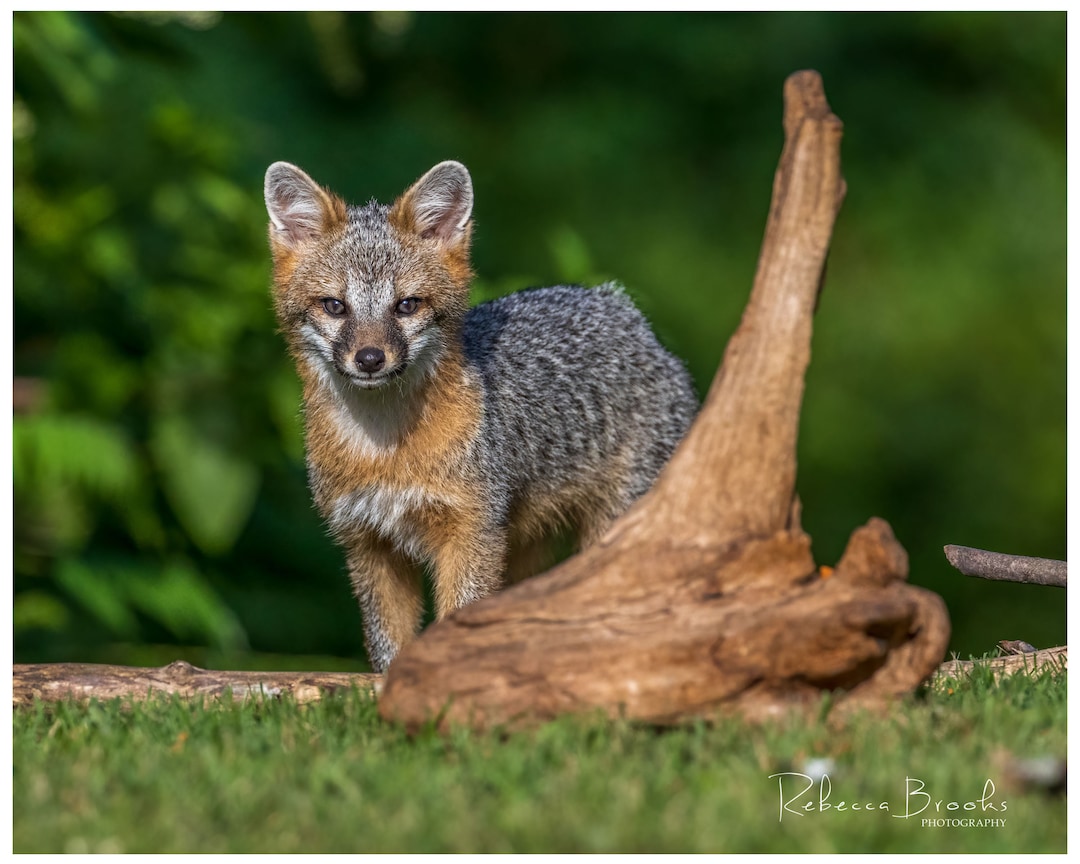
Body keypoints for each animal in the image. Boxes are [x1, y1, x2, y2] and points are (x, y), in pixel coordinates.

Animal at [264, 159, 698, 672]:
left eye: (406, 305)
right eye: (335, 306)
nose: (370, 358)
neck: (386, 449)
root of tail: (620, 307)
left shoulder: (472, 532)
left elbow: (459, 616)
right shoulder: (368, 541)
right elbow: (387, 643)